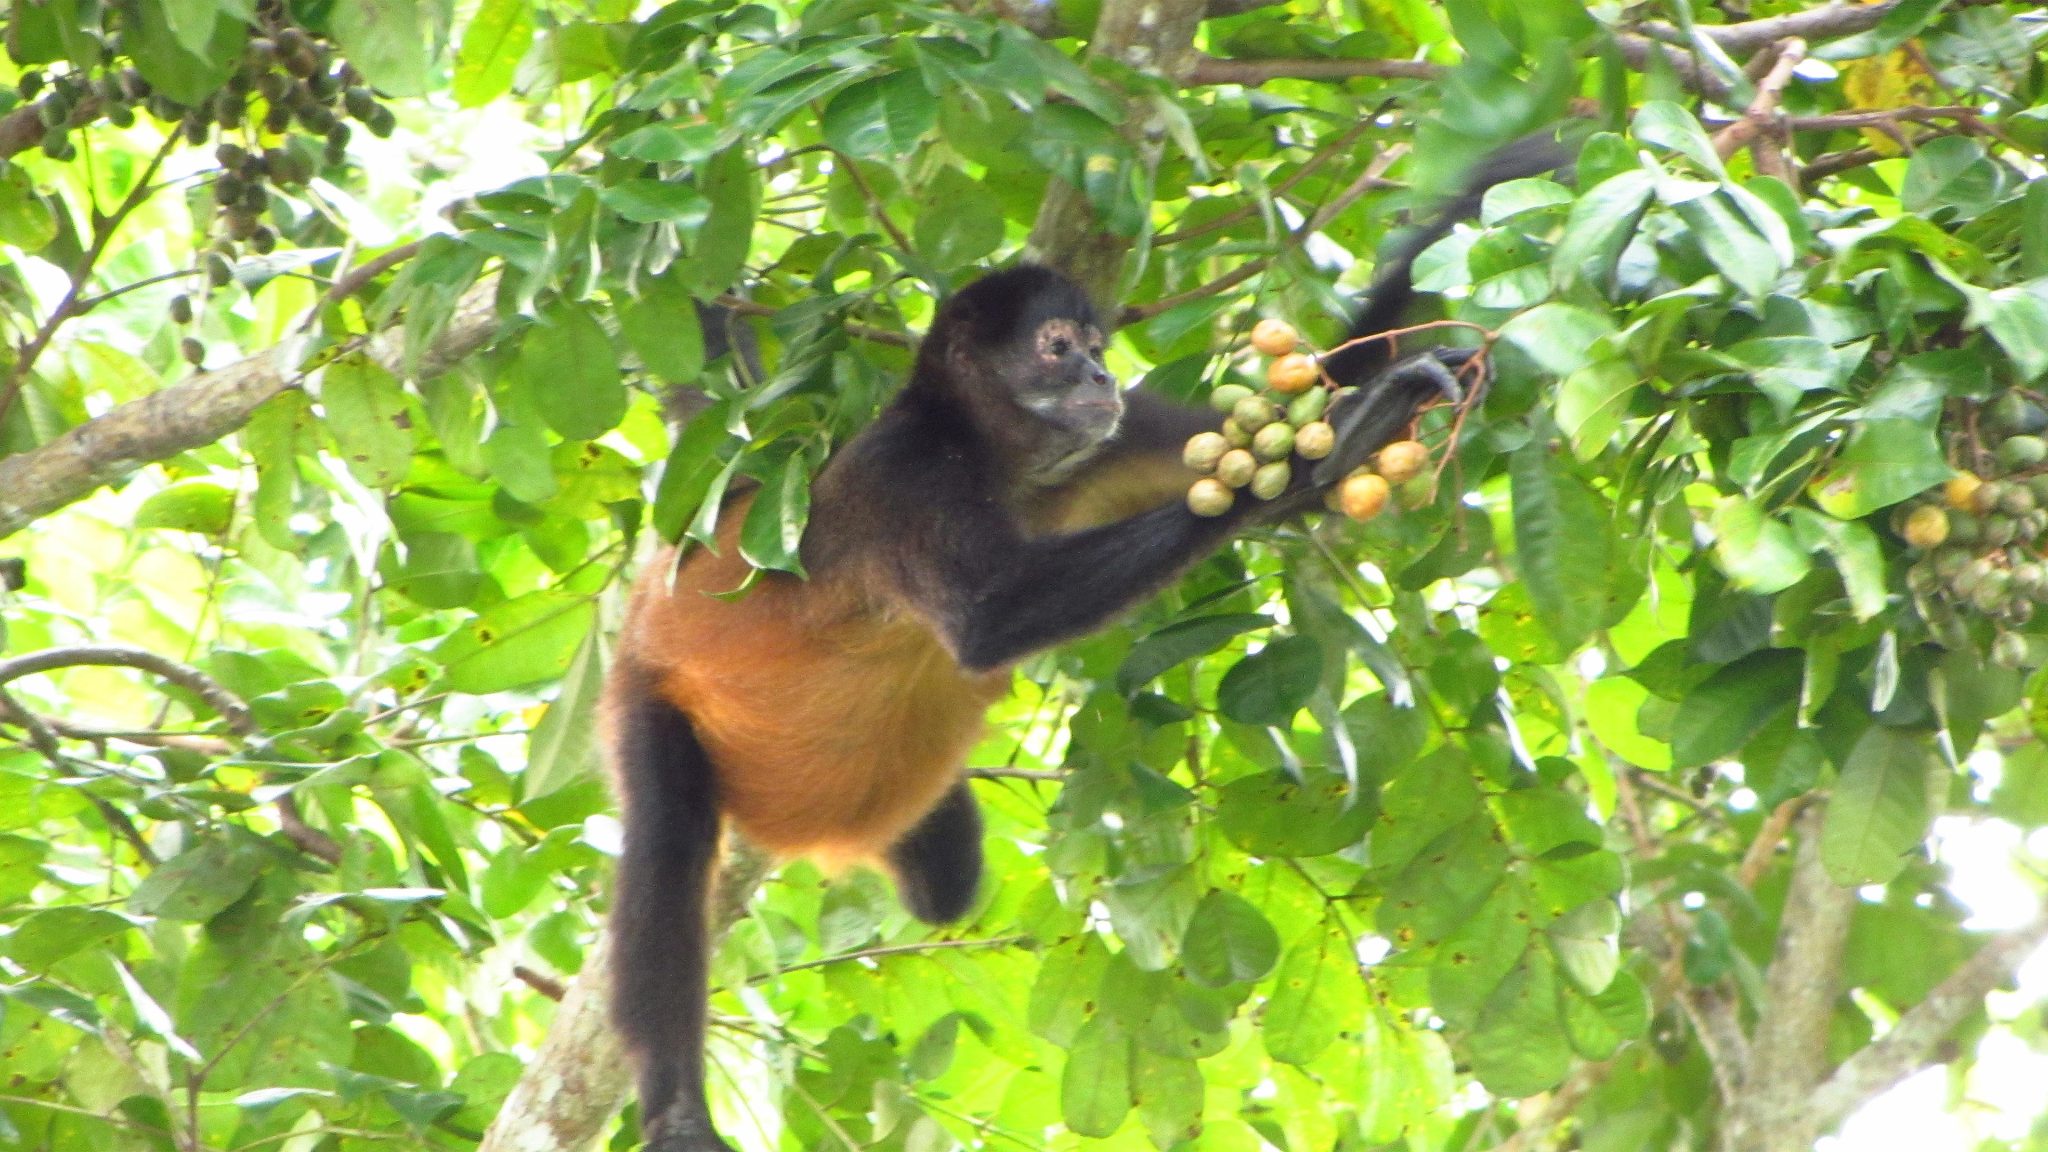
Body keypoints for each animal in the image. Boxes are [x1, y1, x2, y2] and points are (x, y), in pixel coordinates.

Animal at [602, 132, 1577, 1152]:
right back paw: (677, 1111)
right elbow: (992, 619)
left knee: (942, 881)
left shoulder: (1116, 434)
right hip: (649, 691)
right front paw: (1328, 454)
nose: (1100, 377)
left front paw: (1523, 165)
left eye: (1099, 351)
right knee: (670, 837)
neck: (997, 465)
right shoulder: (904, 478)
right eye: (1056, 349)